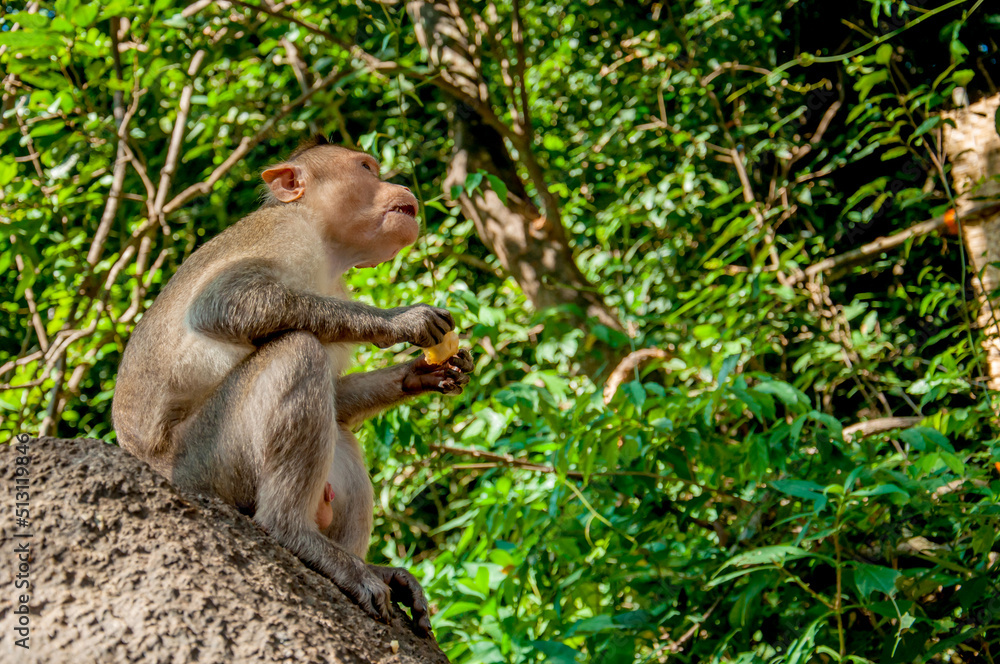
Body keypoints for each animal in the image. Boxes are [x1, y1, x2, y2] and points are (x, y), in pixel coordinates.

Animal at [112, 137, 474, 635]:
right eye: (366, 168)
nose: (398, 185)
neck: (326, 246)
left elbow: (338, 398)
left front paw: (422, 373)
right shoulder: (283, 235)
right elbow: (223, 302)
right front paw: (400, 320)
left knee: (337, 426)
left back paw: (370, 568)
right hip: (207, 463)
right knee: (299, 350)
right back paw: (293, 534)